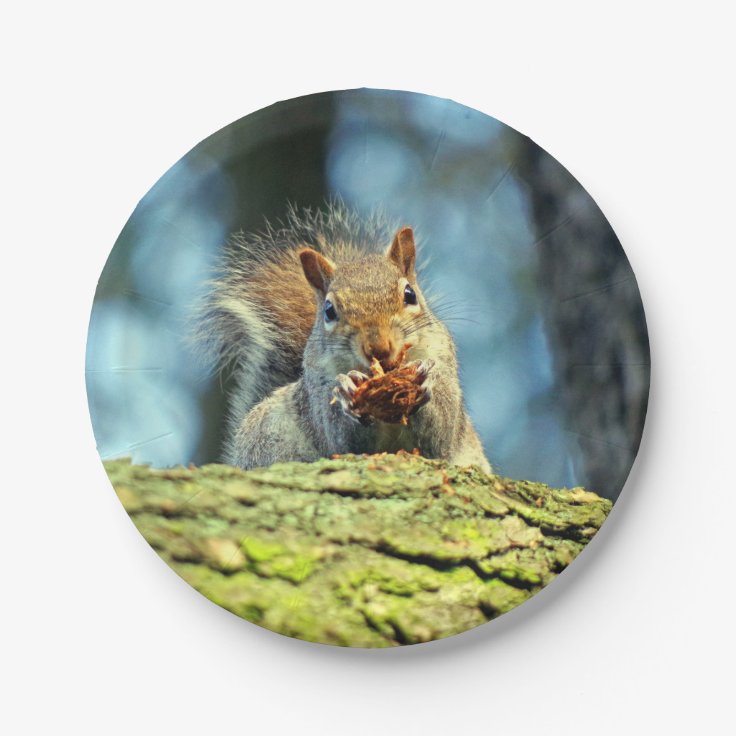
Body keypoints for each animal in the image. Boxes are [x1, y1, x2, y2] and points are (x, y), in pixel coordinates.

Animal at [198, 204, 491, 473]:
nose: (378, 346)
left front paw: (424, 380)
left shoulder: (442, 359)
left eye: (410, 294)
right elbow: (340, 440)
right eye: (329, 310)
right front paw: (347, 390)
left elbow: (439, 437)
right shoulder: (318, 388)